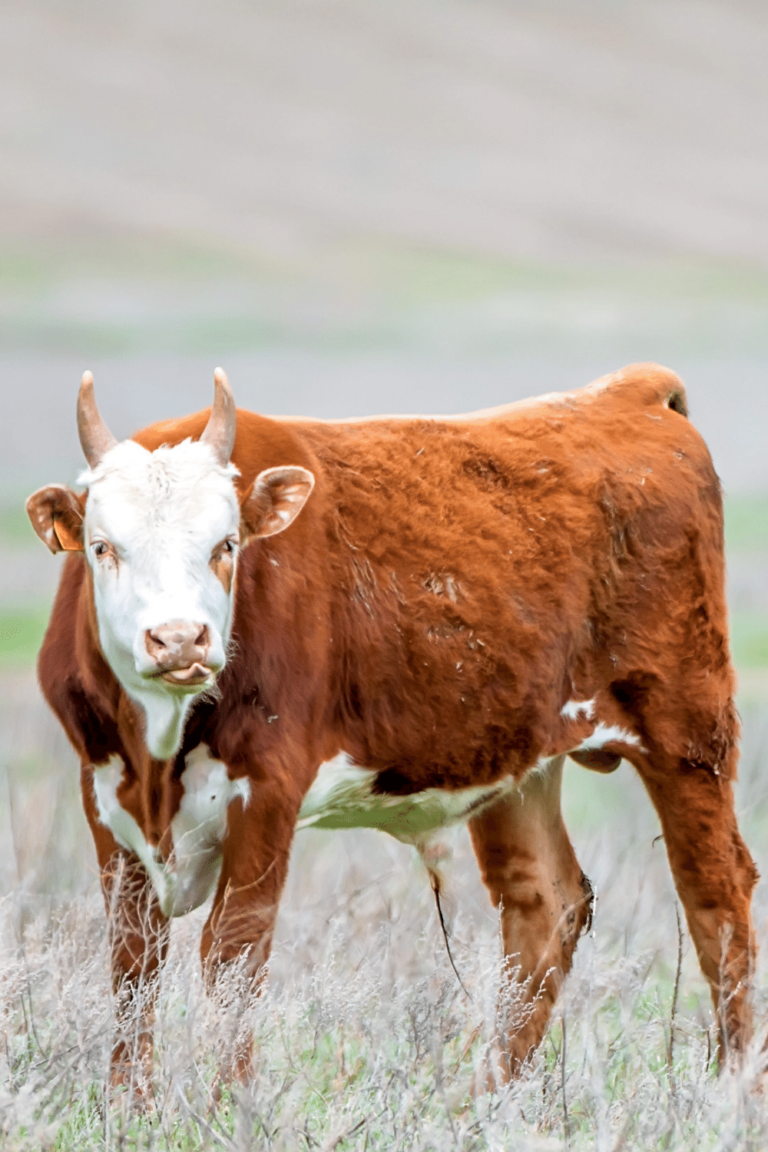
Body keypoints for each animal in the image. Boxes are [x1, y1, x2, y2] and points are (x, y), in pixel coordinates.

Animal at [26, 363, 757, 1087]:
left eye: (225, 544)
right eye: (102, 547)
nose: (179, 639)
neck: (159, 751)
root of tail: (632, 390)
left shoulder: (267, 786)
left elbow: (232, 954)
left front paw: (226, 1103)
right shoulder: (103, 789)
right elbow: (133, 965)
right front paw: (130, 1104)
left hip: (687, 730)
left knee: (716, 896)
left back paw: (734, 1084)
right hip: (521, 752)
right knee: (545, 902)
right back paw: (488, 1095)